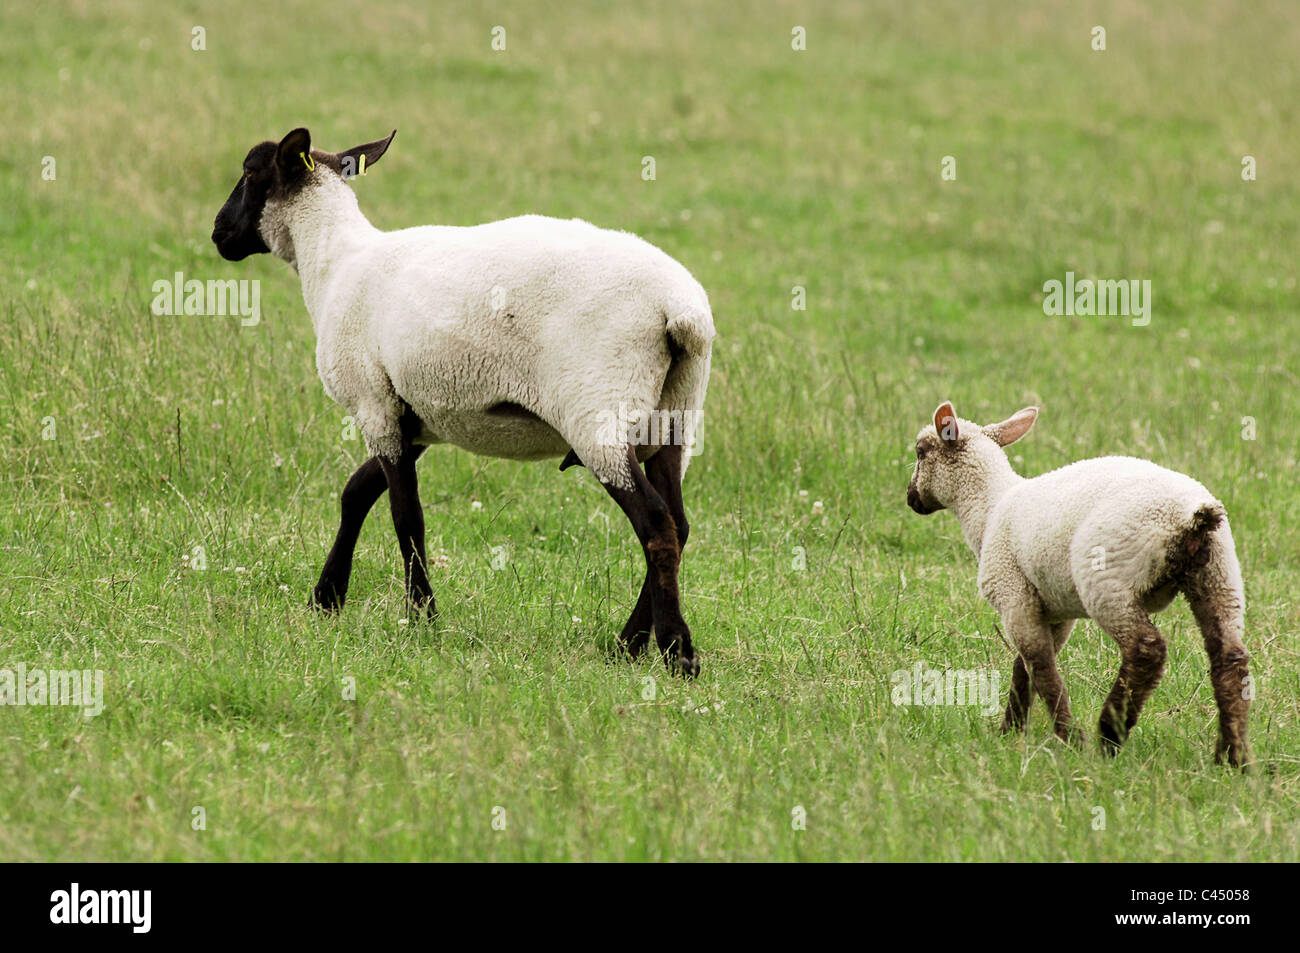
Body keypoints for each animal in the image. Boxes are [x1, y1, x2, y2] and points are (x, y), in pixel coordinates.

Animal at [211, 128, 713, 676]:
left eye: (250, 172)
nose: (218, 232)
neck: (334, 265)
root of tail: (680, 311)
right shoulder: (414, 418)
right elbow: (357, 492)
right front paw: (327, 597)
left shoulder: (373, 404)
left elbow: (406, 516)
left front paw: (421, 615)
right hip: (673, 416)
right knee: (679, 524)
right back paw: (627, 644)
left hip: (600, 413)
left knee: (656, 525)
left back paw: (674, 650)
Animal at [906, 401, 1252, 767]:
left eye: (920, 452)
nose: (911, 499)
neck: (988, 509)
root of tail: (1192, 515)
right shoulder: (1054, 611)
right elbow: (1025, 667)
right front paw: (1011, 731)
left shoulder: (1013, 595)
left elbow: (1040, 666)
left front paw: (1068, 738)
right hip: (1219, 573)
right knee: (1230, 657)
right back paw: (1232, 758)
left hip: (1107, 578)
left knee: (1146, 648)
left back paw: (1110, 734)